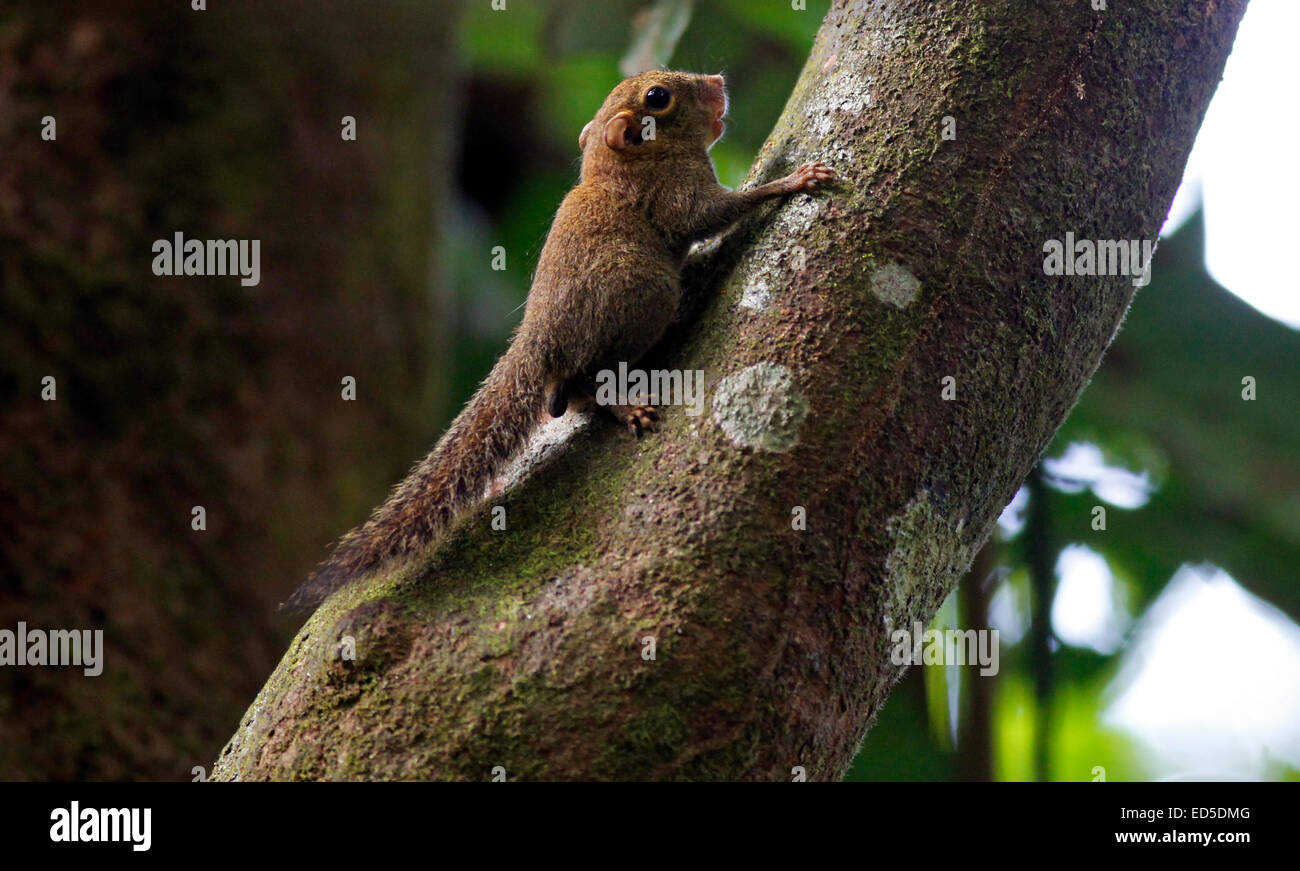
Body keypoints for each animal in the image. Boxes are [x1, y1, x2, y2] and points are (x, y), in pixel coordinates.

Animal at [285, 71, 833, 611]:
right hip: (645, 292)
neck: (617, 166)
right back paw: (622, 403)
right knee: (588, 380)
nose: (717, 80)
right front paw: (787, 179)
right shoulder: (676, 192)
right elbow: (711, 215)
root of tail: (536, 344)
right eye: (658, 97)